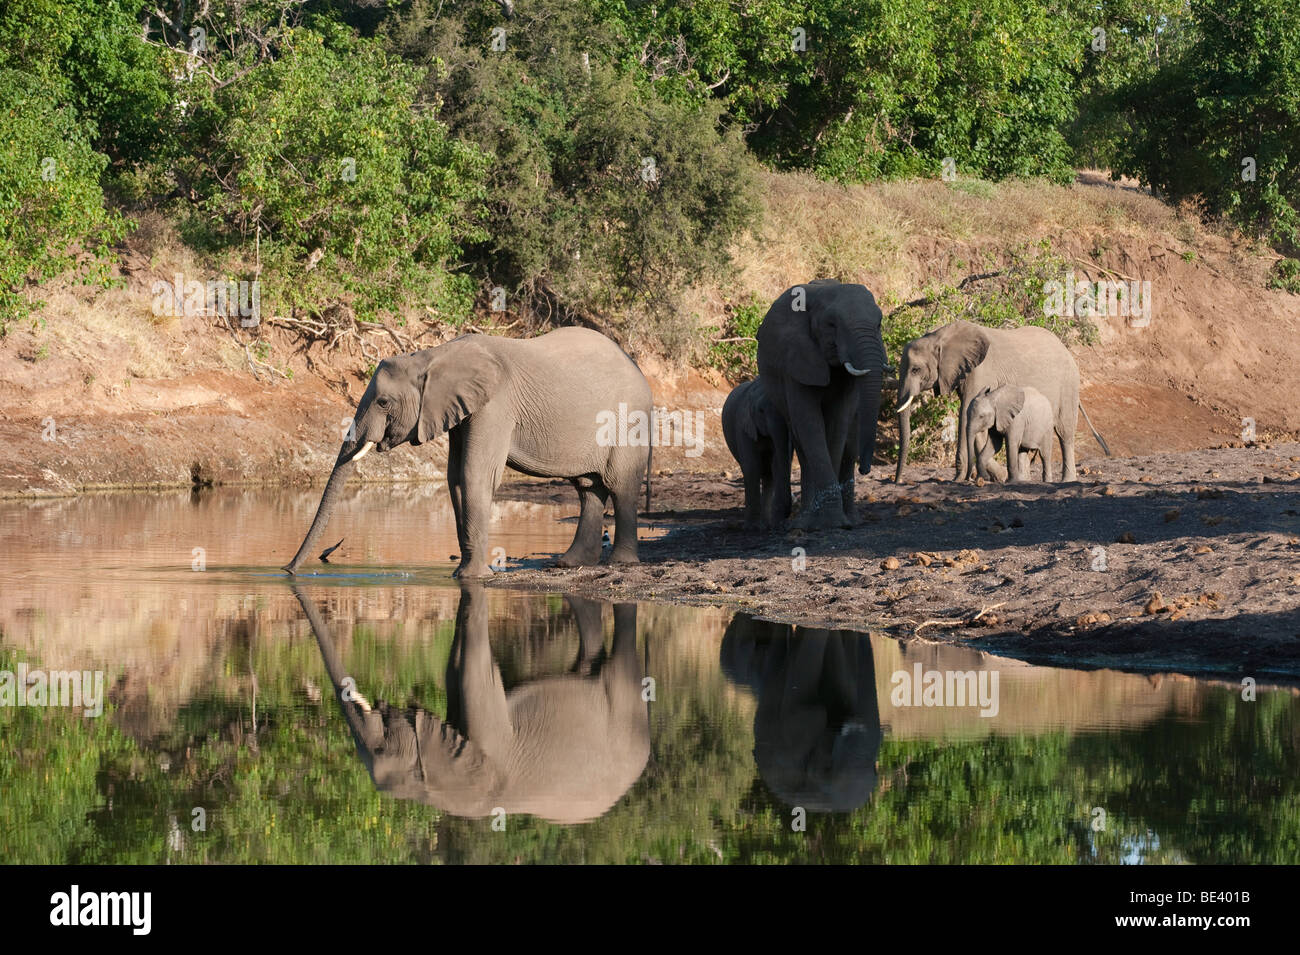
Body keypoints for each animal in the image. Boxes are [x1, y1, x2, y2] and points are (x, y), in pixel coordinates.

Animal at [283, 327, 652, 578]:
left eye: (384, 402)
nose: (287, 570)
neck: (433, 357)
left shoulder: (495, 405)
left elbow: (475, 474)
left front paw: (474, 577)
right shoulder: (458, 411)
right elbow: (455, 478)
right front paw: (460, 575)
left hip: (628, 419)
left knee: (620, 486)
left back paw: (620, 563)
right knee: (588, 488)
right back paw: (570, 563)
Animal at [721, 378, 793, 529]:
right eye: (761, 411)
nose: (787, 514)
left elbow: (777, 465)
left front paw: (777, 524)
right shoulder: (743, 425)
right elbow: (751, 467)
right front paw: (752, 528)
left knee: (769, 475)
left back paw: (767, 524)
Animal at [756, 279, 887, 529]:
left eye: (879, 323)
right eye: (832, 325)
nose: (865, 469)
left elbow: (837, 424)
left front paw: (837, 522)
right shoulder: (795, 360)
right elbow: (809, 423)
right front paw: (829, 522)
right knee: (800, 440)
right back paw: (803, 521)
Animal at [893, 320, 1110, 483]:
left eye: (915, 369)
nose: (898, 481)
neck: (939, 336)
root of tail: (1066, 349)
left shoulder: (981, 371)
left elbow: (965, 415)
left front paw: (959, 479)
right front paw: (995, 477)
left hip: (1068, 385)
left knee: (1065, 433)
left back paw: (1066, 481)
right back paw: (1023, 480)